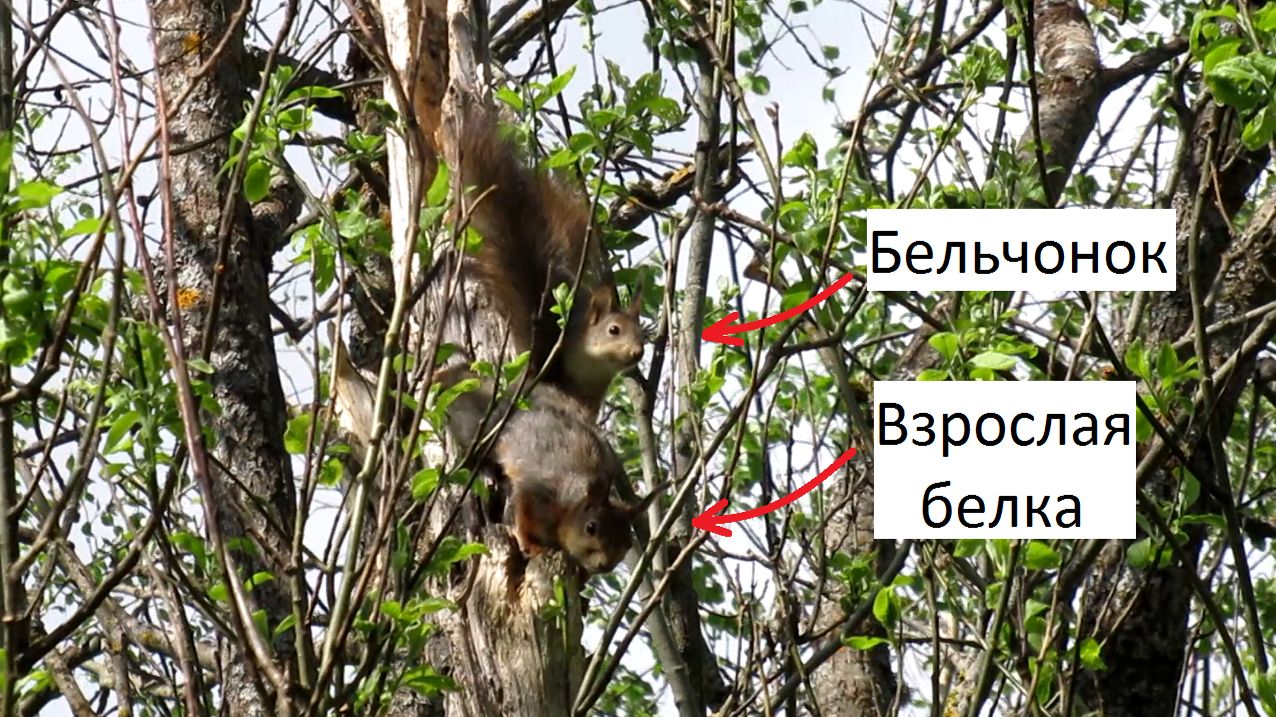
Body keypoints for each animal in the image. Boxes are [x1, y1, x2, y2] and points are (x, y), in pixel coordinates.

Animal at [433, 365, 663, 573]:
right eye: (591, 527)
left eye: (628, 542)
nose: (604, 566)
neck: (571, 503)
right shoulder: (535, 491)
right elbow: (522, 521)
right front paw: (531, 547)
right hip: (480, 429)